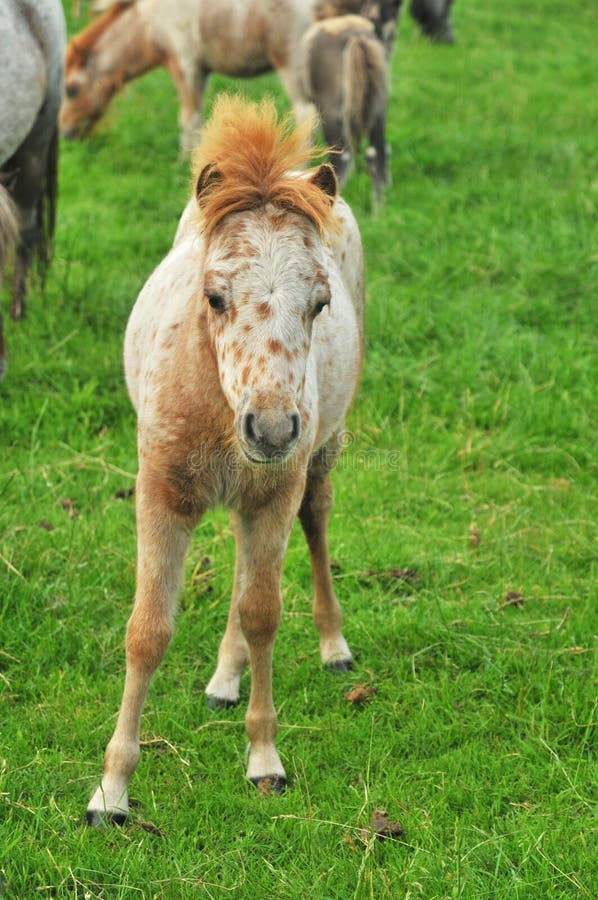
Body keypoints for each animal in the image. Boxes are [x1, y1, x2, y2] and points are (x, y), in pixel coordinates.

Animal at [86, 94, 365, 825]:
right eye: (214, 296)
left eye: (320, 303)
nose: (270, 428)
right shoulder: (161, 493)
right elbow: (148, 631)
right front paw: (110, 793)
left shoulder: (274, 491)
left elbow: (263, 612)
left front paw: (265, 761)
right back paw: (222, 679)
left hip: (317, 453)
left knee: (314, 519)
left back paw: (333, 647)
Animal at [300, 13, 392, 207]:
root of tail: (355, 35)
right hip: (378, 113)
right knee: (377, 155)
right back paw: (379, 209)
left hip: (331, 115)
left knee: (340, 161)